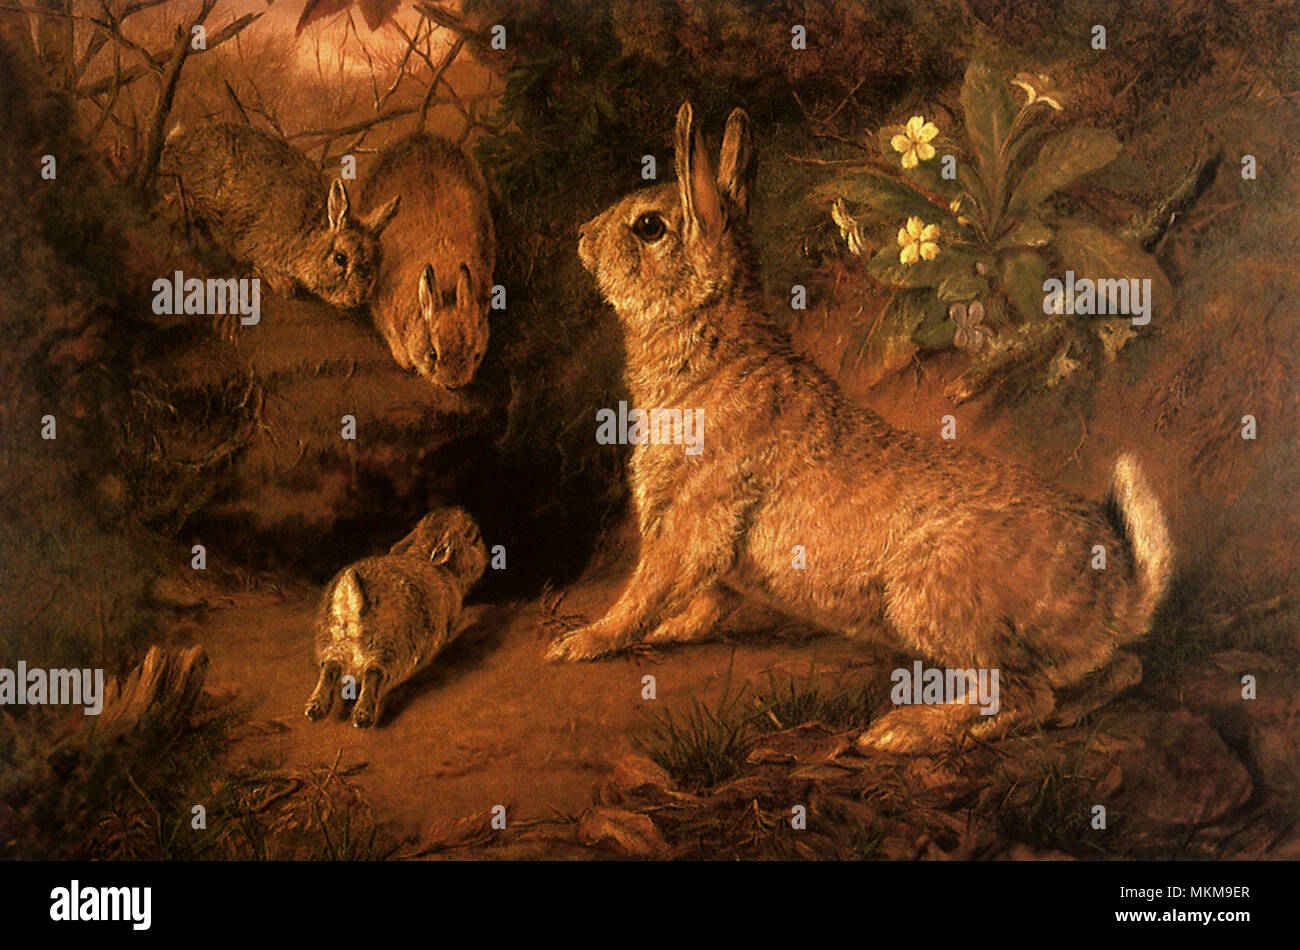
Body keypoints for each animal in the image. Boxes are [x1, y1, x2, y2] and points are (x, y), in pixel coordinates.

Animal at [159, 123, 400, 309]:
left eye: (377, 263)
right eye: (340, 259)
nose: (355, 300)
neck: (309, 234)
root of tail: (176, 142)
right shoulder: (256, 241)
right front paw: (283, 285)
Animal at [304, 505, 488, 728]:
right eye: (476, 537)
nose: (487, 556)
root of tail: (351, 601)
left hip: (333, 645)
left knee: (329, 668)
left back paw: (315, 708)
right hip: (388, 649)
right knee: (374, 674)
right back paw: (362, 717)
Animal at [547, 103, 1173, 755]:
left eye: (649, 227)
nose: (582, 237)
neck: (714, 353)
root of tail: (1114, 597)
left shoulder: (696, 517)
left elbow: (648, 590)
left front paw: (581, 642)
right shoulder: (710, 545)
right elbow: (704, 602)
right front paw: (666, 632)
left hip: (932, 589)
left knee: (1020, 695)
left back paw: (902, 731)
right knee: (1117, 670)